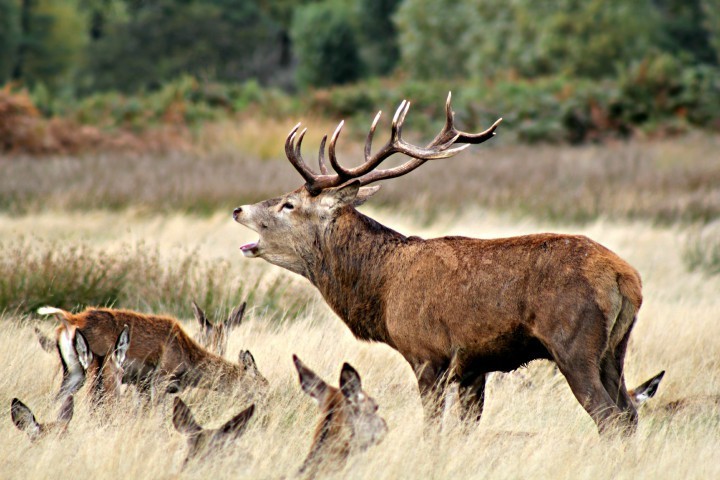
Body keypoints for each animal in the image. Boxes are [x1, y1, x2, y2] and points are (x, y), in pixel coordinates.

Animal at [233, 93, 644, 435]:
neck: (382, 289)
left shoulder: (427, 354)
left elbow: (432, 429)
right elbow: (465, 430)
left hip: (573, 343)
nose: (238, 209)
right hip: (615, 349)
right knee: (630, 413)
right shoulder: (473, 367)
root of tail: (625, 277)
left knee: (609, 418)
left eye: (289, 204)